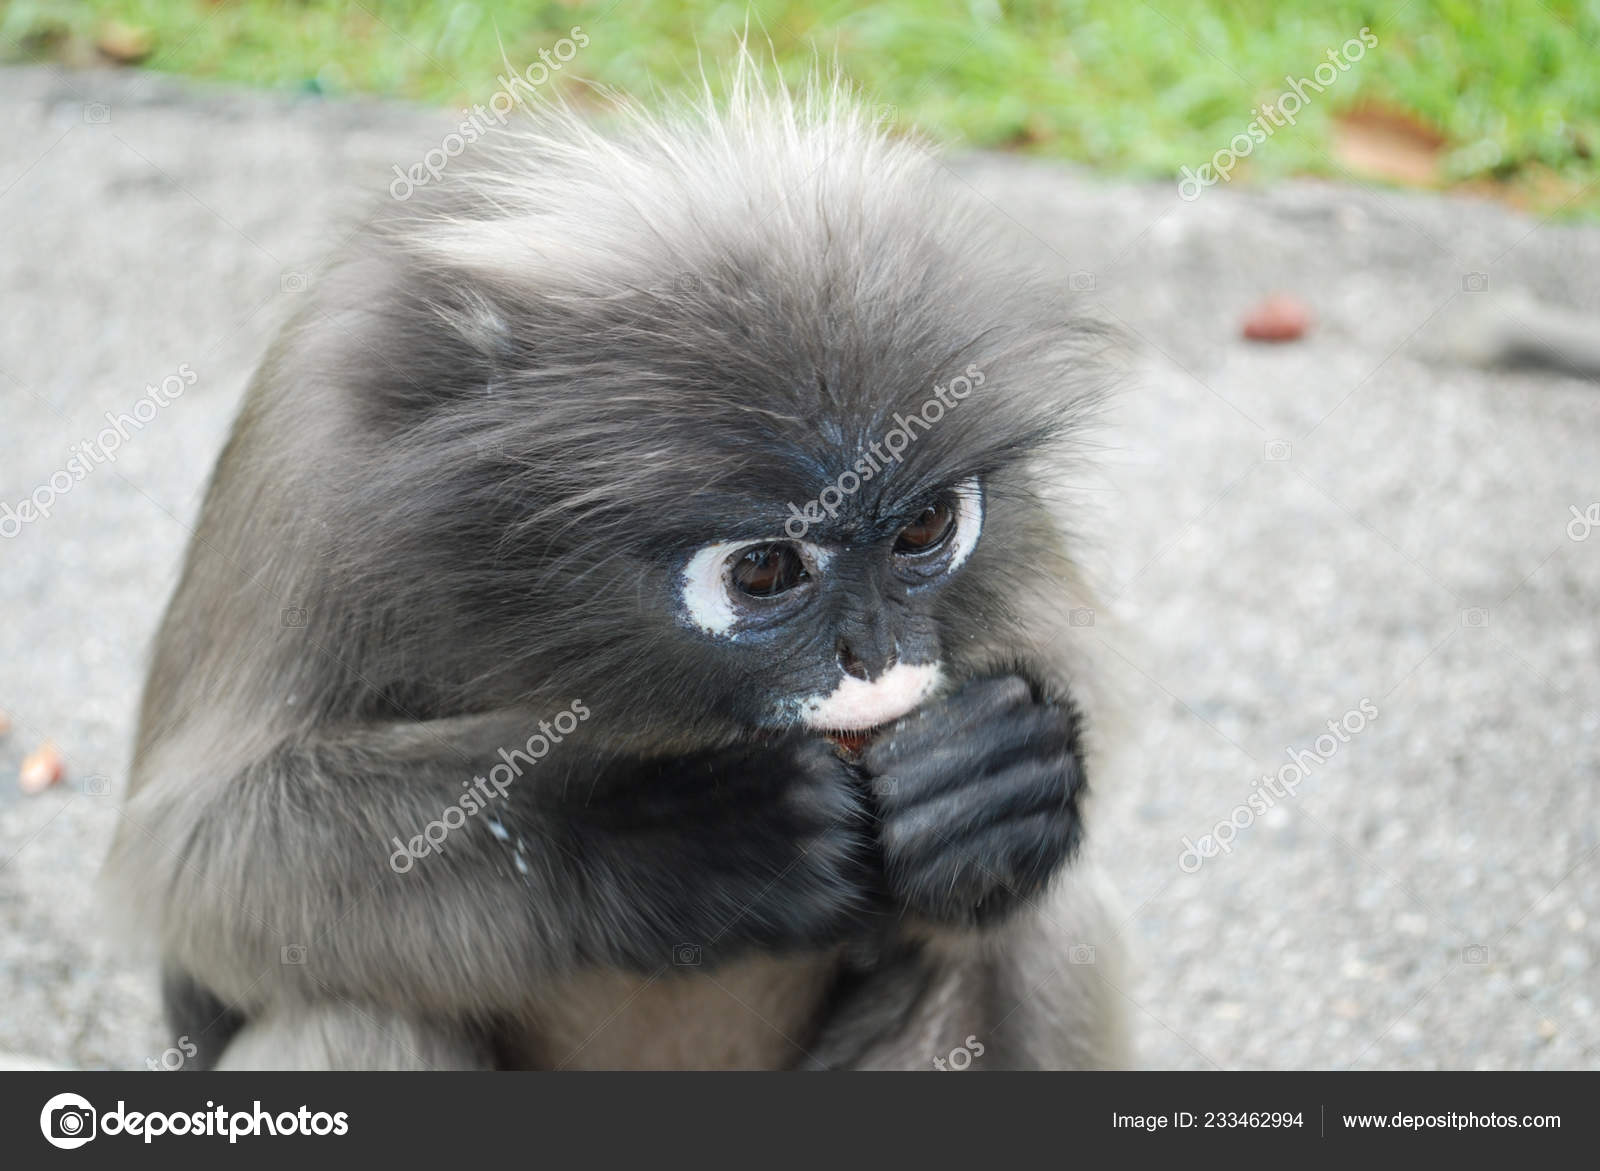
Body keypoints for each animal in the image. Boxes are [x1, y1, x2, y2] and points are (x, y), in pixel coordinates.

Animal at [103, 63, 1131, 1070]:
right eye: (765, 571)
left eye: (924, 526)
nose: (875, 657)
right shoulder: (313, 469)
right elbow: (200, 857)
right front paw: (674, 841)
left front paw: (989, 786)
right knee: (354, 1022)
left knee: (1044, 929)